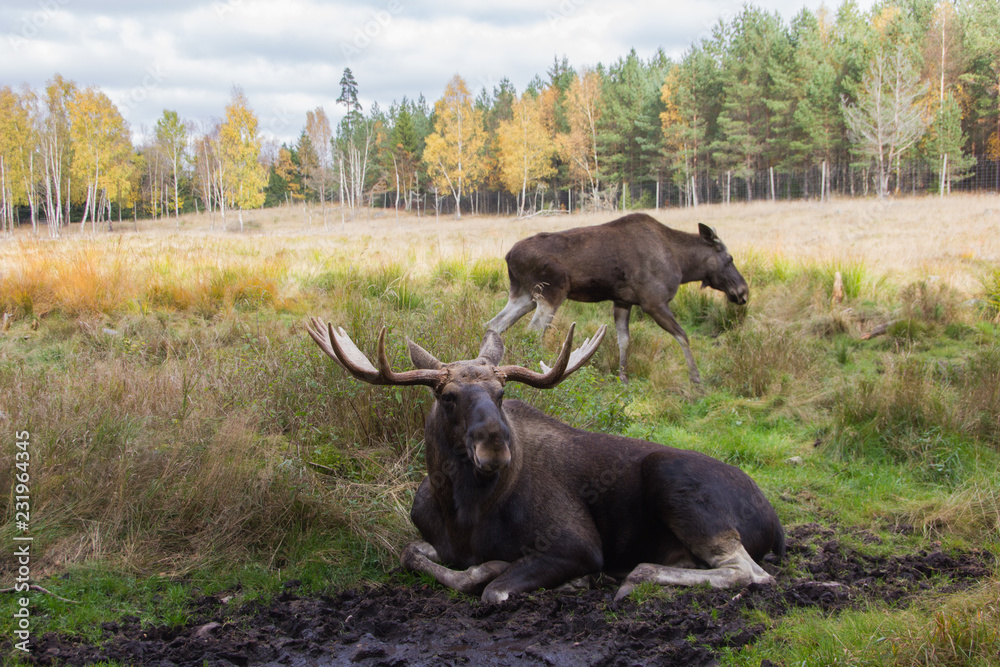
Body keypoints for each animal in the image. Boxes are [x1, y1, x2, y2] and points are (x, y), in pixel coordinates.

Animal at [306, 317, 785, 604]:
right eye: (447, 396)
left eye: (501, 393)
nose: (495, 447)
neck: (463, 515)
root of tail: (777, 524)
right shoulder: (434, 541)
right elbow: (412, 553)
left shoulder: (577, 543)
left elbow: (492, 588)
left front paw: (524, 571)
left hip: (675, 483)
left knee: (749, 572)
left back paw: (632, 576)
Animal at [487, 213, 749, 385]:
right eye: (729, 258)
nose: (743, 292)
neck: (683, 265)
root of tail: (508, 256)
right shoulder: (653, 301)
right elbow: (683, 336)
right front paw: (696, 378)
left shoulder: (623, 301)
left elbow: (624, 340)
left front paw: (623, 377)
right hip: (551, 293)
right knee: (531, 333)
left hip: (524, 295)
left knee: (494, 325)